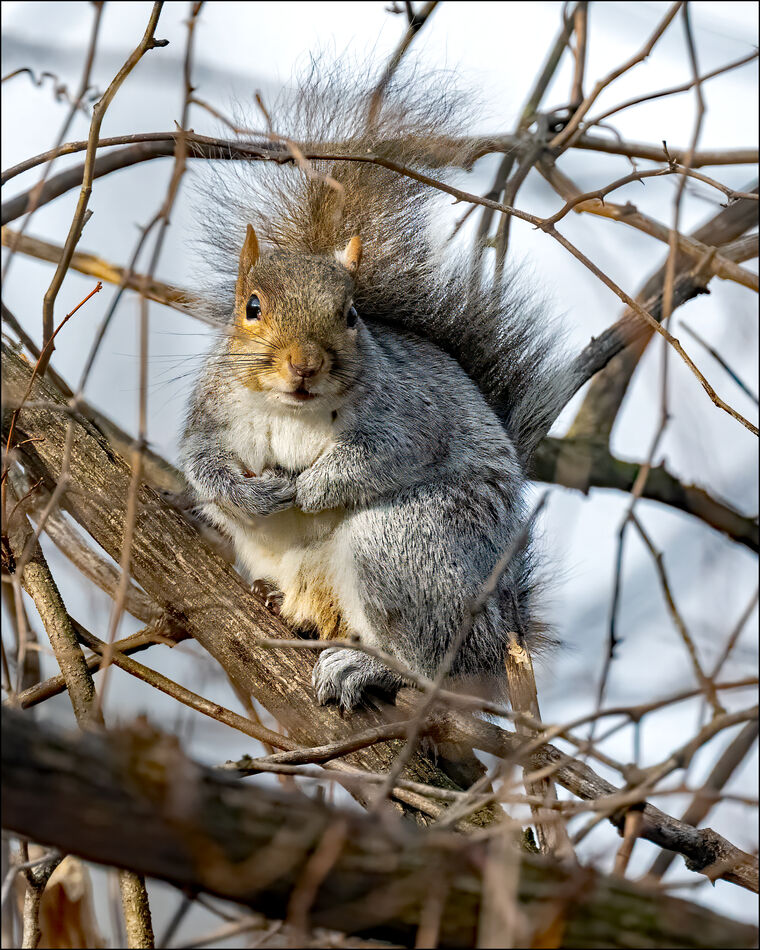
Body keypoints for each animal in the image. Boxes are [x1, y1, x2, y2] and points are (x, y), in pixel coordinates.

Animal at [180, 66, 577, 710]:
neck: (295, 412)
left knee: (436, 663)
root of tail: (503, 635)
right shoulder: (210, 411)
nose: (305, 364)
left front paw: (312, 488)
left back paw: (365, 667)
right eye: (251, 307)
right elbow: (200, 463)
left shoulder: (411, 414)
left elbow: (386, 454)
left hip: (406, 543)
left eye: (351, 314)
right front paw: (252, 494)